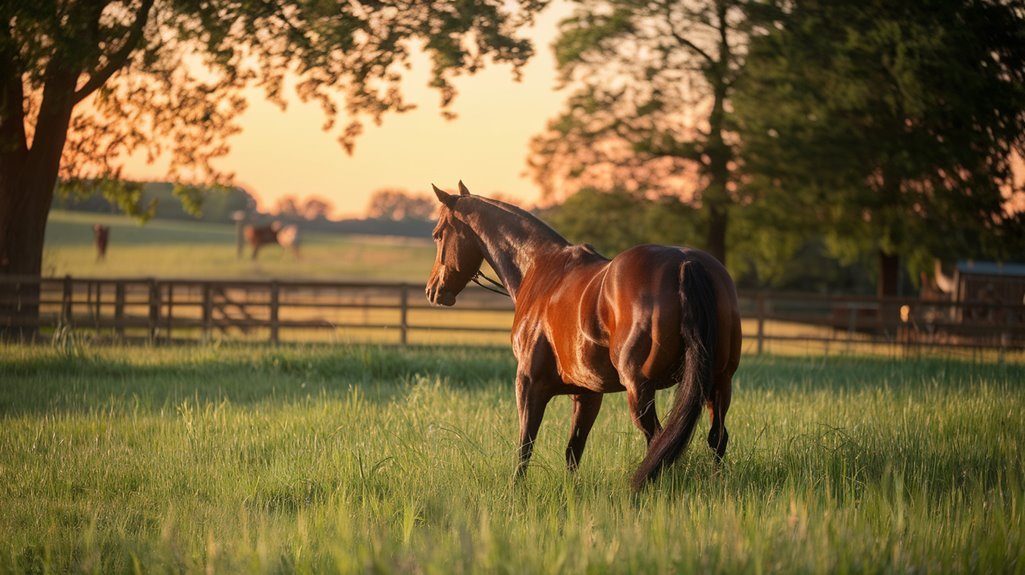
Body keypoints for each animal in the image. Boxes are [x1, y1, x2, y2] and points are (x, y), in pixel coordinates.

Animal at [425, 182, 742, 489]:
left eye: (438, 235)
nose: (432, 290)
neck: (541, 268)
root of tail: (686, 263)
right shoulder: (587, 392)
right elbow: (573, 450)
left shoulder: (528, 384)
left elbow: (525, 445)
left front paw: (516, 490)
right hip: (718, 382)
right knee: (716, 438)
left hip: (640, 389)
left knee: (659, 442)